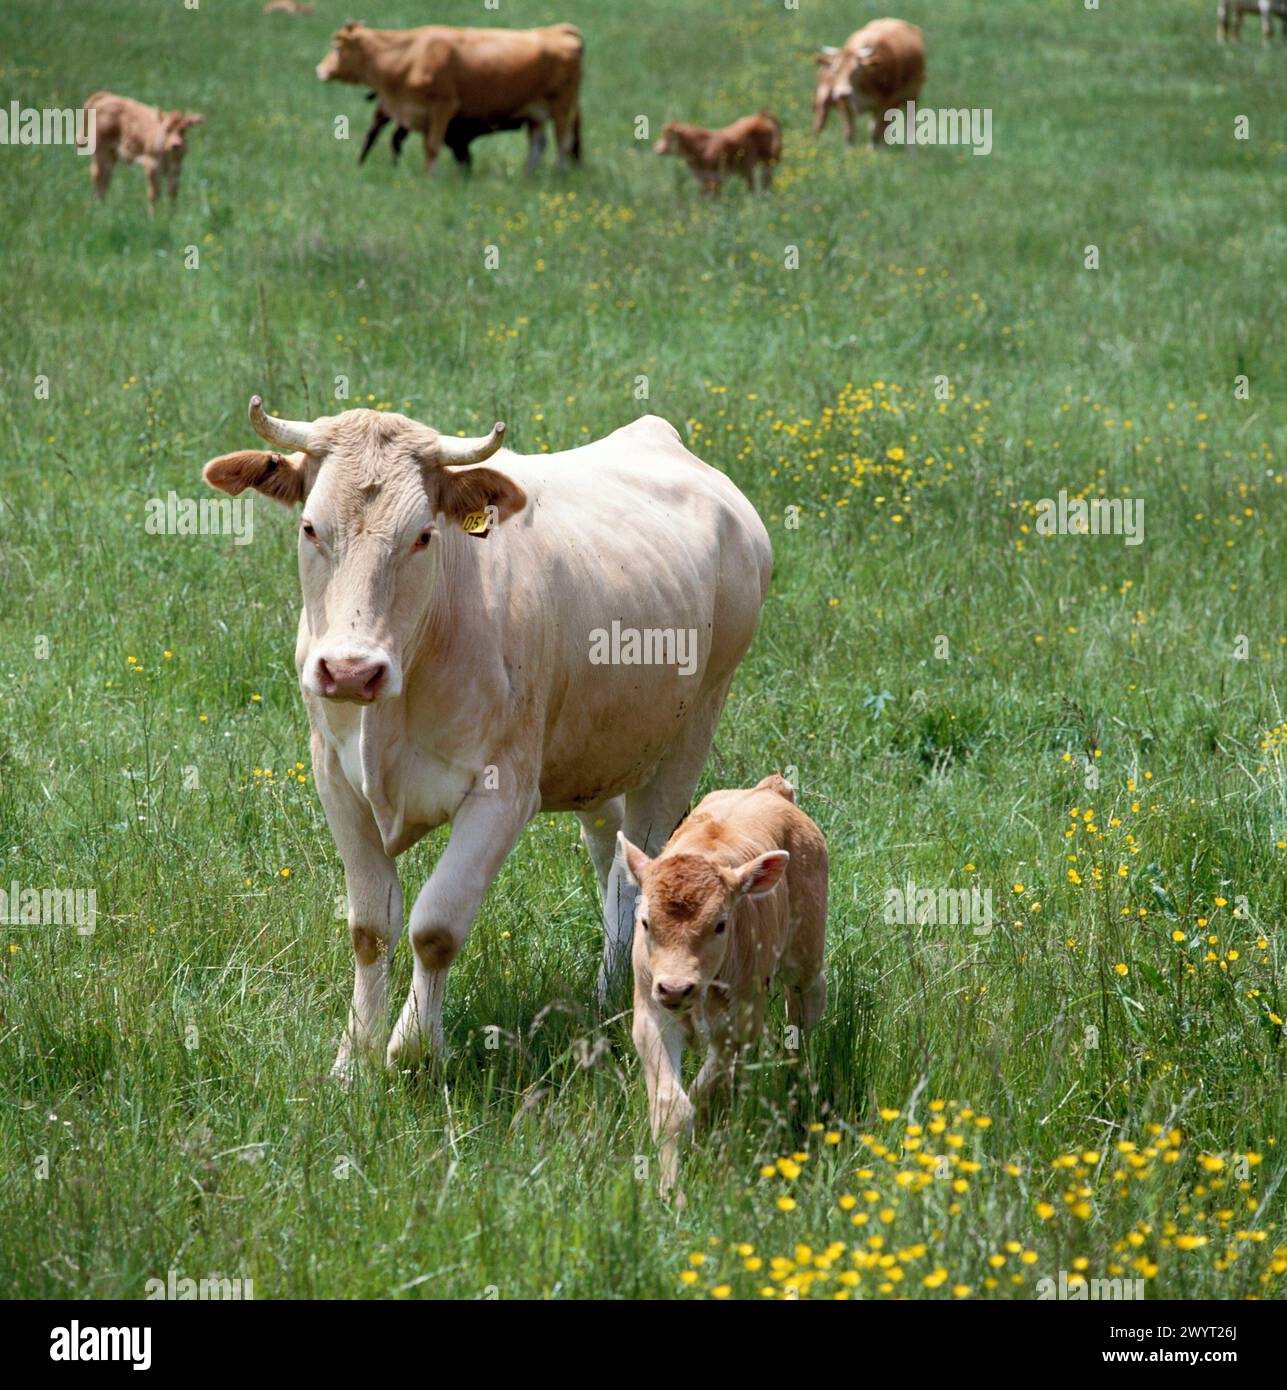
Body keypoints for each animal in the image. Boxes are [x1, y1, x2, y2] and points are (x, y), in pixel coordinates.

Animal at [202, 399, 771, 1078]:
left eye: (423, 535)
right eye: (311, 528)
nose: (351, 671)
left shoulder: (504, 793)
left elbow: (436, 926)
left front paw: (413, 1049)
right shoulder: (334, 778)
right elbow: (370, 925)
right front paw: (354, 1058)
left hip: (691, 731)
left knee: (640, 870)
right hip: (601, 750)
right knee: (611, 851)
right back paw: (606, 987)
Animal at [317, 21, 584, 176]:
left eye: (337, 47)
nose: (320, 70)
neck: (409, 54)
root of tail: (561, 30)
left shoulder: (443, 107)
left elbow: (431, 147)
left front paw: (429, 179)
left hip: (561, 108)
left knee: (564, 142)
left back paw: (559, 175)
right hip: (535, 113)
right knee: (538, 144)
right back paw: (527, 176)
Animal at [621, 774, 828, 1200]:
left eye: (720, 924)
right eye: (646, 921)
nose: (675, 988)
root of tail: (770, 789)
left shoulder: (741, 1021)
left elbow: (708, 1088)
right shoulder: (650, 1017)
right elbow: (671, 1105)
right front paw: (670, 1191)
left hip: (805, 954)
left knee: (807, 1000)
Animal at [653, 112, 782, 194]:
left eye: (667, 137)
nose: (656, 147)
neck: (700, 147)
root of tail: (760, 117)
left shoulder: (715, 179)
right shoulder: (703, 180)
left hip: (765, 163)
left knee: (763, 183)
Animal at [812, 18, 925, 150]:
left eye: (855, 70)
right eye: (835, 70)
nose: (843, 93)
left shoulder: (882, 106)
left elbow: (874, 132)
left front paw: (871, 152)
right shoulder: (844, 106)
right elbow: (849, 133)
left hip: (912, 98)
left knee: (909, 130)